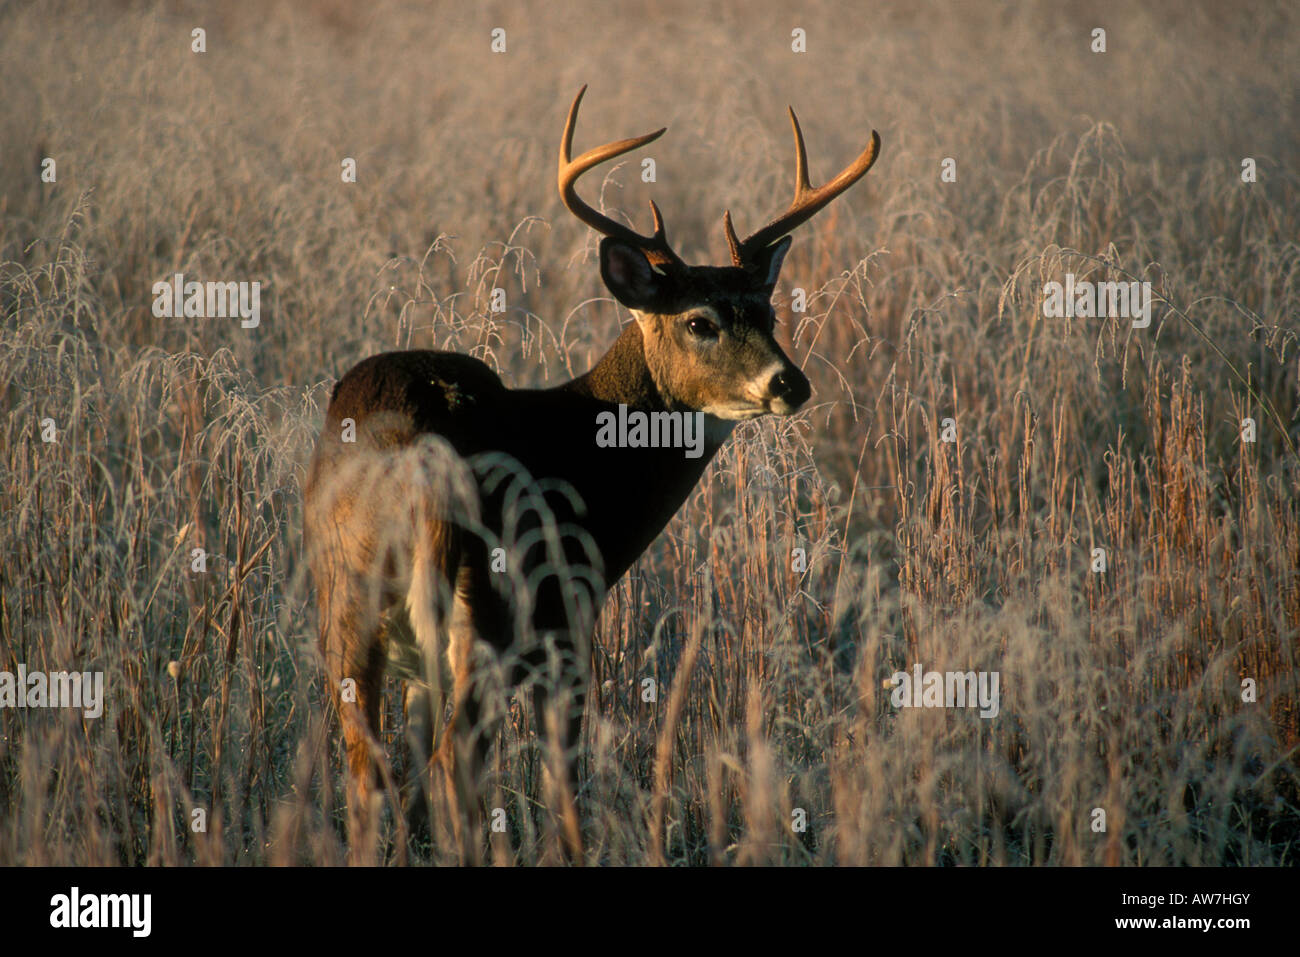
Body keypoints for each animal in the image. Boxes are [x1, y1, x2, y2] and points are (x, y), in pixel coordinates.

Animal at [303, 85, 879, 862]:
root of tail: (414, 454)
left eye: (767, 312)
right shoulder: (570, 621)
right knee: (455, 758)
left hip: (352, 599)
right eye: (700, 321)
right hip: (490, 608)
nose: (792, 383)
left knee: (370, 769)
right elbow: (563, 785)